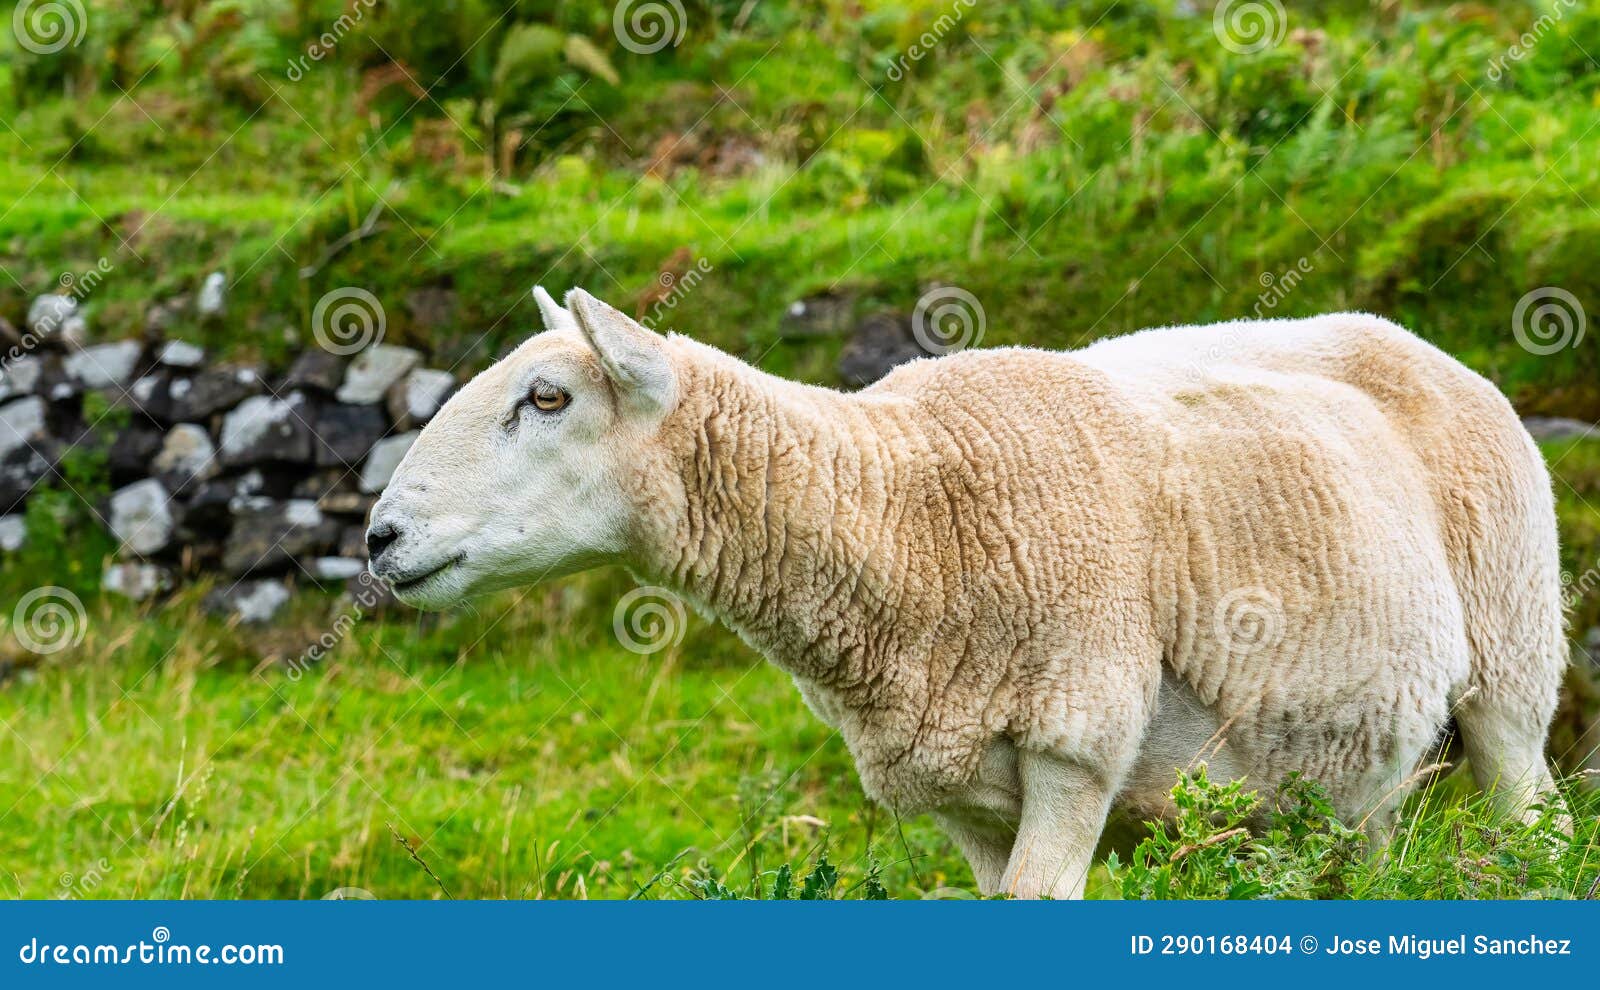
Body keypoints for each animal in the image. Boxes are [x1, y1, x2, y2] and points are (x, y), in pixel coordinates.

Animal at [366, 288, 1567, 898]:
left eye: (548, 398)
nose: (379, 536)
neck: (907, 507)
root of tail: (1405, 336)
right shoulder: (954, 787)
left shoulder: (1075, 743)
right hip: (1351, 770)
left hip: (1511, 661)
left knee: (1537, 822)